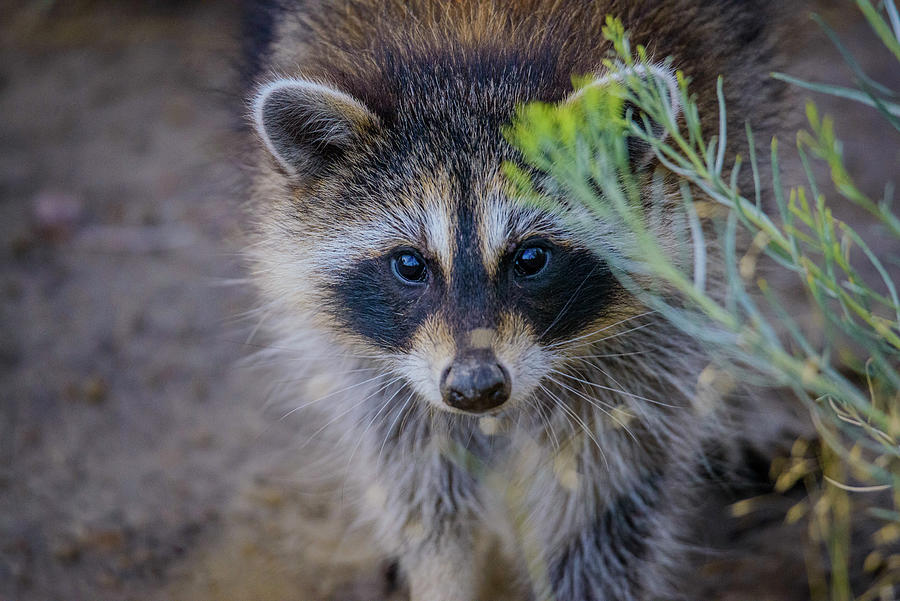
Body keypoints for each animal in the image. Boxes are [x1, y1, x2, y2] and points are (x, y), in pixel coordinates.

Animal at [243, 1, 785, 599]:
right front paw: (442, 578)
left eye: (531, 258)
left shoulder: (645, 349)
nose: (476, 387)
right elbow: (420, 483)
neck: (469, 48)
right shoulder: (380, 371)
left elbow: (605, 500)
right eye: (410, 265)